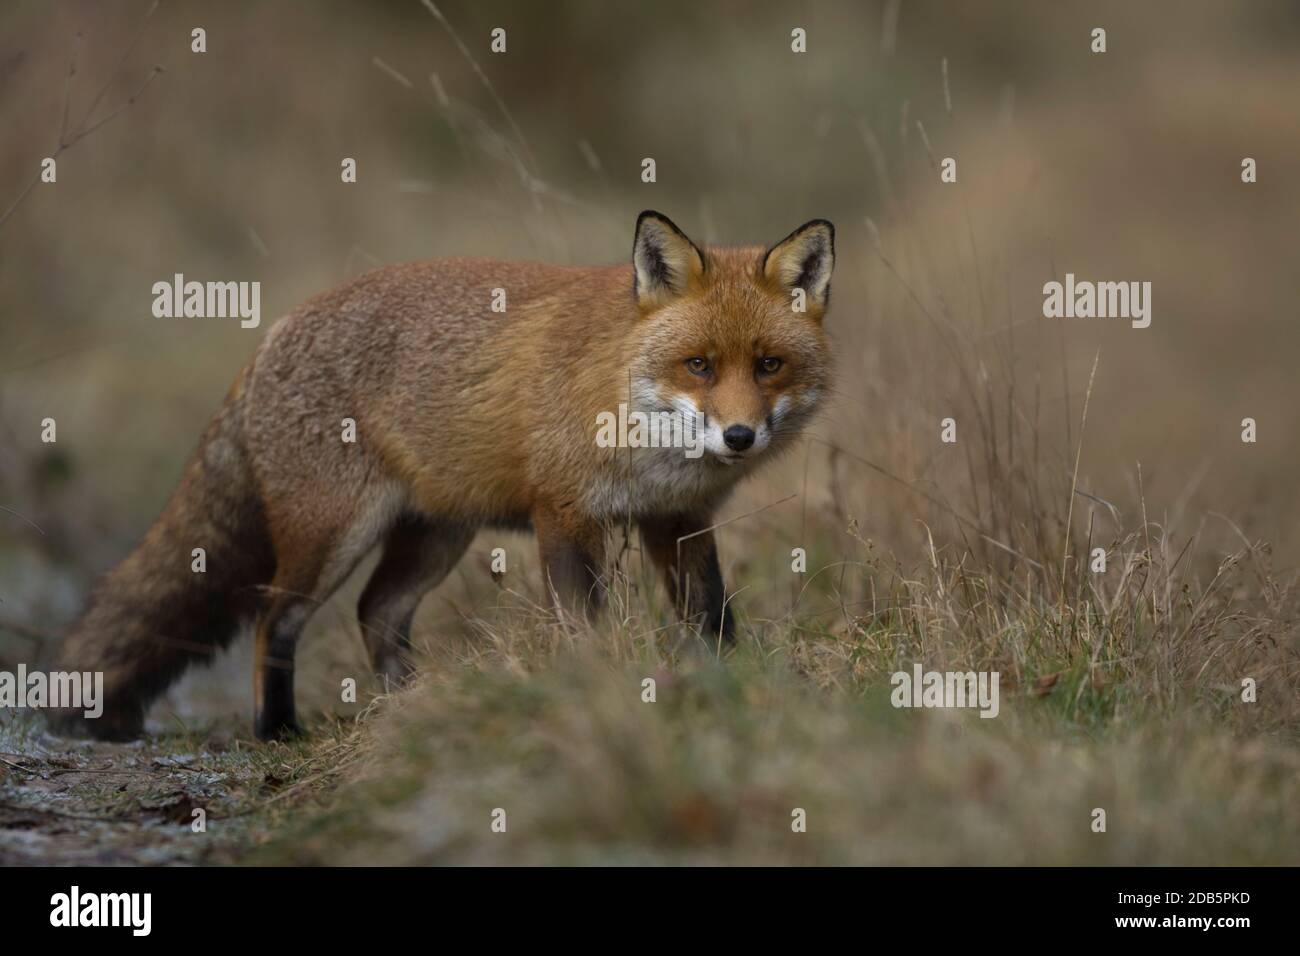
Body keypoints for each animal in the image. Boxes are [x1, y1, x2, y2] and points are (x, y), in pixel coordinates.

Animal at [51, 211, 835, 741]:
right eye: (698, 365)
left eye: (768, 365)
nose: (739, 436)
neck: (627, 403)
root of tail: (272, 334)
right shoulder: (563, 514)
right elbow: (583, 626)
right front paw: (592, 688)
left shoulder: (677, 520)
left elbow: (712, 616)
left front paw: (733, 684)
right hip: (332, 537)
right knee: (276, 618)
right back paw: (277, 730)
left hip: (435, 535)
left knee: (376, 612)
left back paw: (408, 707)